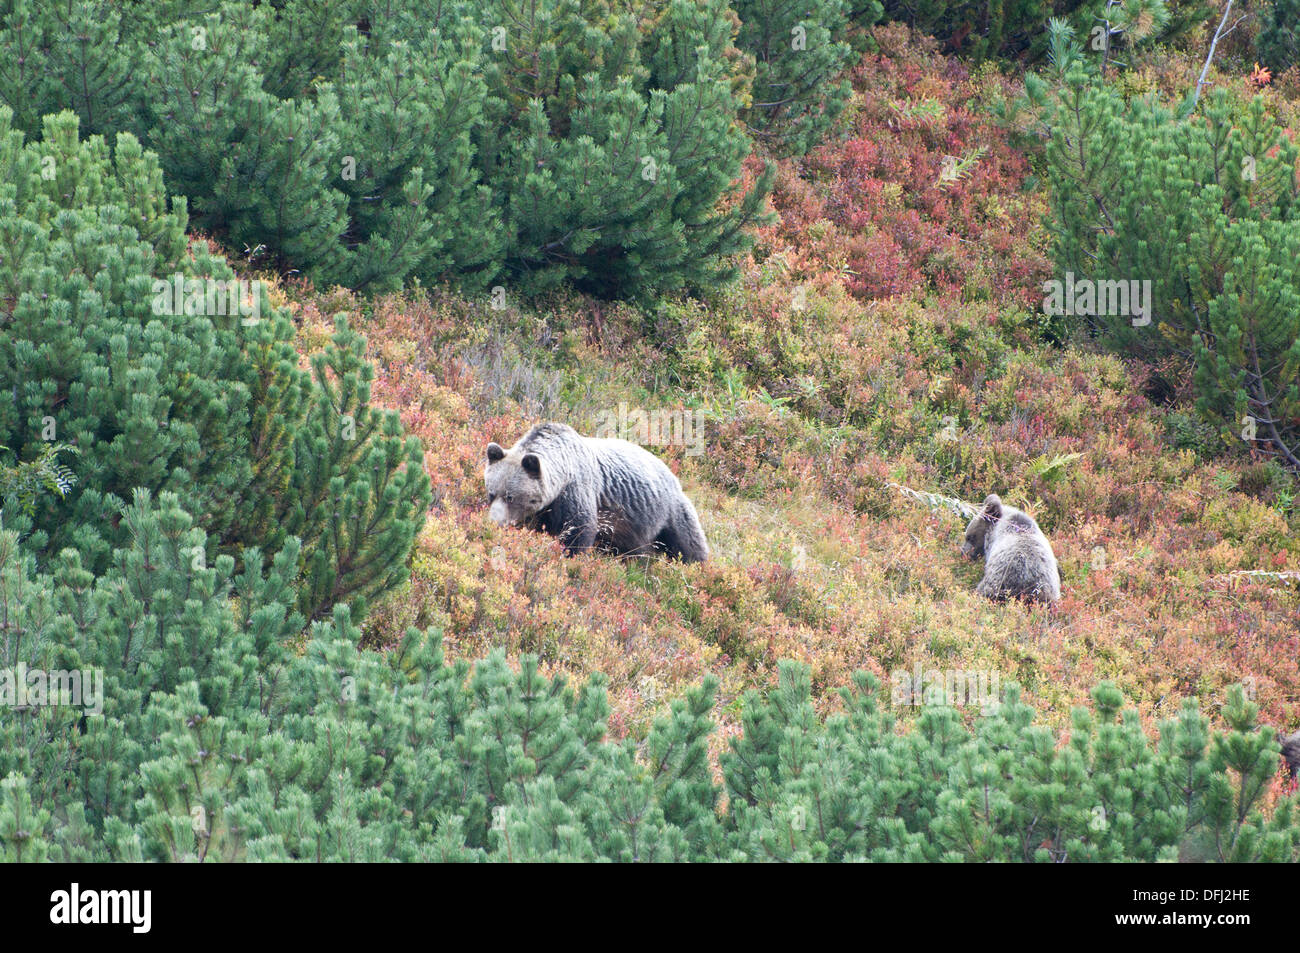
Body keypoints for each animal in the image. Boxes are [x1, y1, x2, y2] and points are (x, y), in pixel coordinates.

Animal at [485, 422, 709, 562]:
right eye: (491, 493)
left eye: (510, 496)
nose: (494, 521)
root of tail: (674, 475)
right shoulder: (545, 509)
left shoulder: (577, 490)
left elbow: (579, 528)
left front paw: (570, 557)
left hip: (670, 511)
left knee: (688, 543)